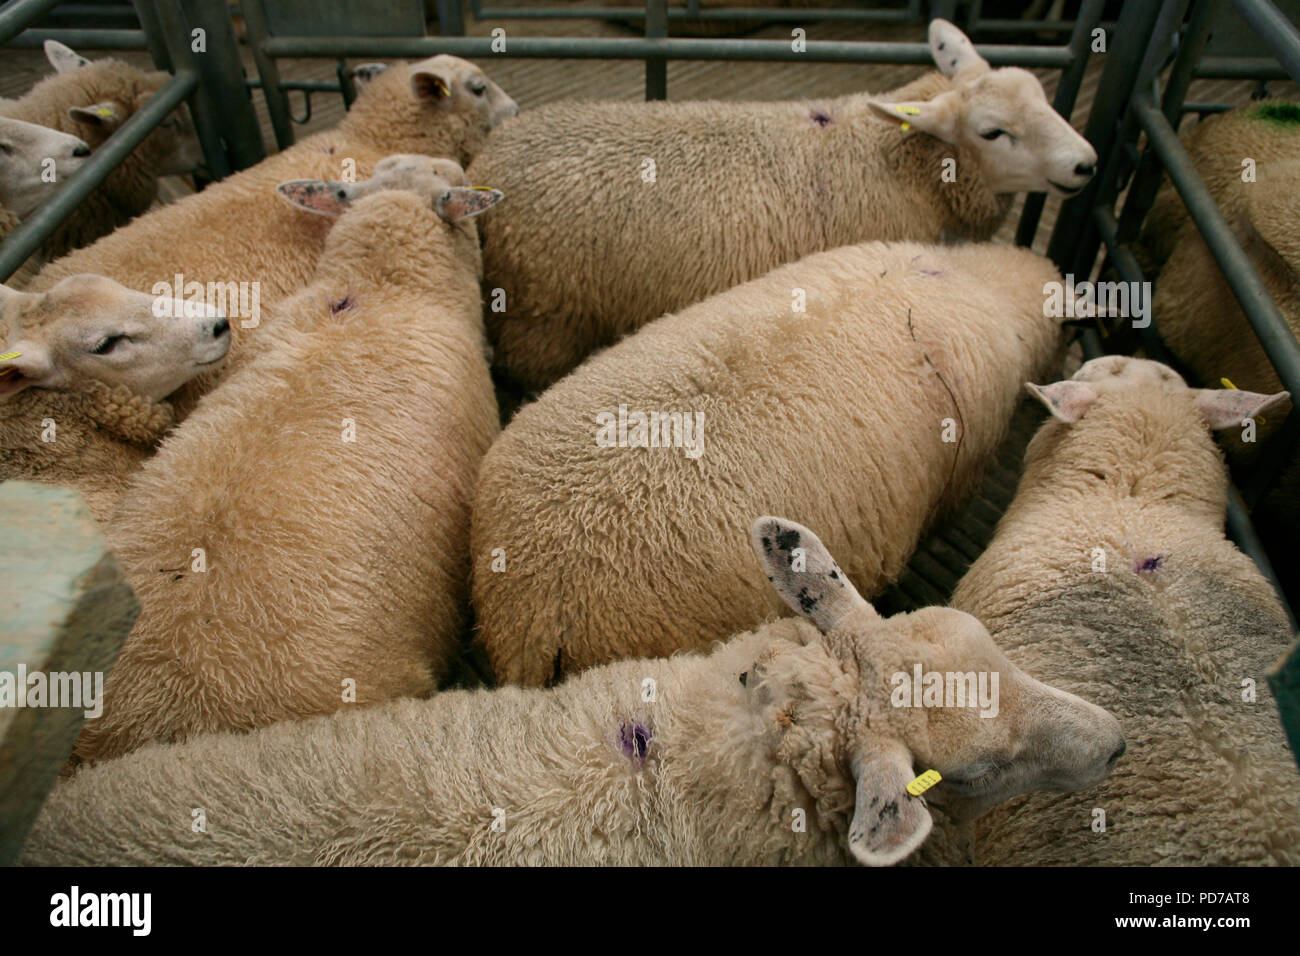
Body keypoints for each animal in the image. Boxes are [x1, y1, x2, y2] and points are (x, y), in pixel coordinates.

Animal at [466, 18, 1097, 388]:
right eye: (993, 132)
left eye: (1043, 99)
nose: (1086, 164)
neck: (899, 161)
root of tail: (484, 166)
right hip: (544, 322)